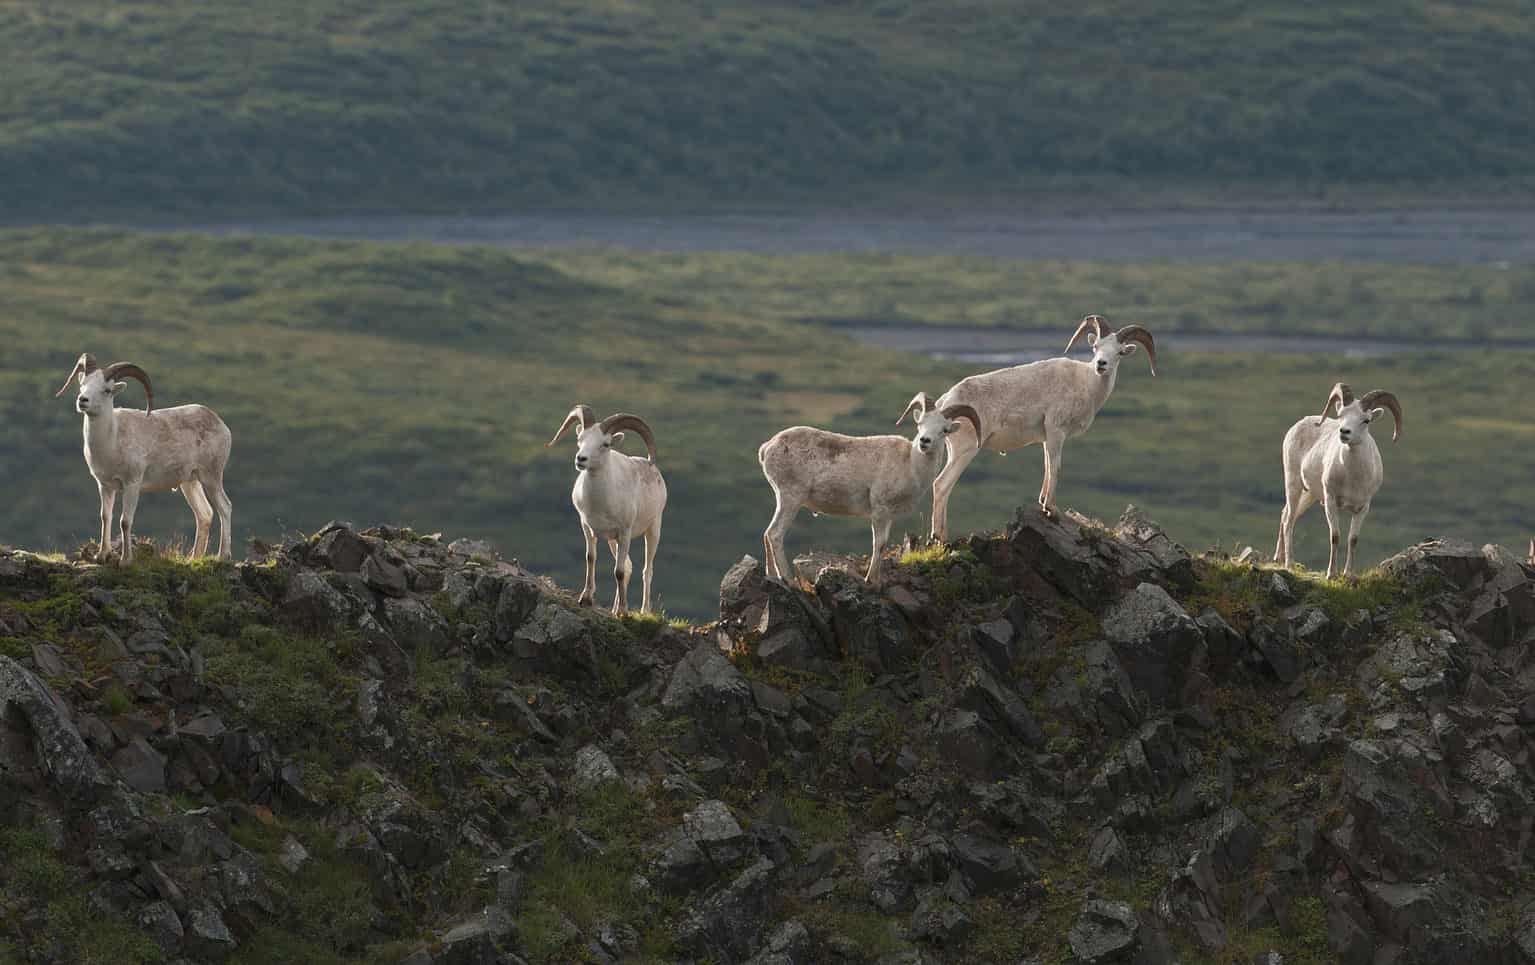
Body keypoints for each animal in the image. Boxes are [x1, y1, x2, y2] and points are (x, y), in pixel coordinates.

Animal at [55, 353, 234, 564]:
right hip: (190, 483)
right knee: (204, 514)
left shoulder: (132, 484)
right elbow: (105, 517)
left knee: (225, 508)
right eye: (83, 385)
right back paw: (193, 559)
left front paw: (125, 561)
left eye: (106, 390)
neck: (112, 440)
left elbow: (125, 521)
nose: (82, 400)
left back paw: (223, 556)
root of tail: (221, 424)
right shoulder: (105, 486)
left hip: (211, 477)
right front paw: (101, 555)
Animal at [546, 405, 667, 615]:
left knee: (646, 571)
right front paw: (586, 599)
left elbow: (618, 572)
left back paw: (643, 611)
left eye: (605, 444)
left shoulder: (624, 533)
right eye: (580, 439)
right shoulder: (588, 528)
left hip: (652, 531)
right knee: (628, 567)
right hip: (613, 542)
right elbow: (591, 558)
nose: (581, 459)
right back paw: (614, 609)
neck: (599, 503)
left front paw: (624, 612)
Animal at [759, 392, 983, 585]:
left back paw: (773, 576)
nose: (924, 441)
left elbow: (882, 545)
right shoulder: (879, 511)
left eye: (944, 430)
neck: (910, 465)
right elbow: (879, 543)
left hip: (784, 499)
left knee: (768, 533)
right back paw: (788, 579)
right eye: (920, 424)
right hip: (791, 499)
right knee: (775, 534)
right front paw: (871, 580)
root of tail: (768, 447)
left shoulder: (889, 515)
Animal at [928, 315, 1156, 541]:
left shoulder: (1047, 437)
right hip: (965, 450)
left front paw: (1042, 503)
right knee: (941, 485)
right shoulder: (1057, 431)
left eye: (1119, 352)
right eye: (1096, 347)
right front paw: (1051, 510)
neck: (1086, 384)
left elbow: (1047, 466)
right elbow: (1055, 467)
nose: (1101, 364)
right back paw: (938, 536)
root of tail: (944, 403)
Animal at [1273, 382, 1403, 580]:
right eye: (1341, 415)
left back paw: (1278, 559)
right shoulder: (1331, 502)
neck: (1352, 478)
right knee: (1289, 521)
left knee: (1285, 514)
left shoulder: (1363, 508)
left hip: (1309, 494)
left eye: (1366, 420)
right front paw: (1331, 574)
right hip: (1293, 484)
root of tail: (1297, 426)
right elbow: (1335, 536)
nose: (1344, 432)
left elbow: (1353, 539)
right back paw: (1289, 564)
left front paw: (1348, 575)